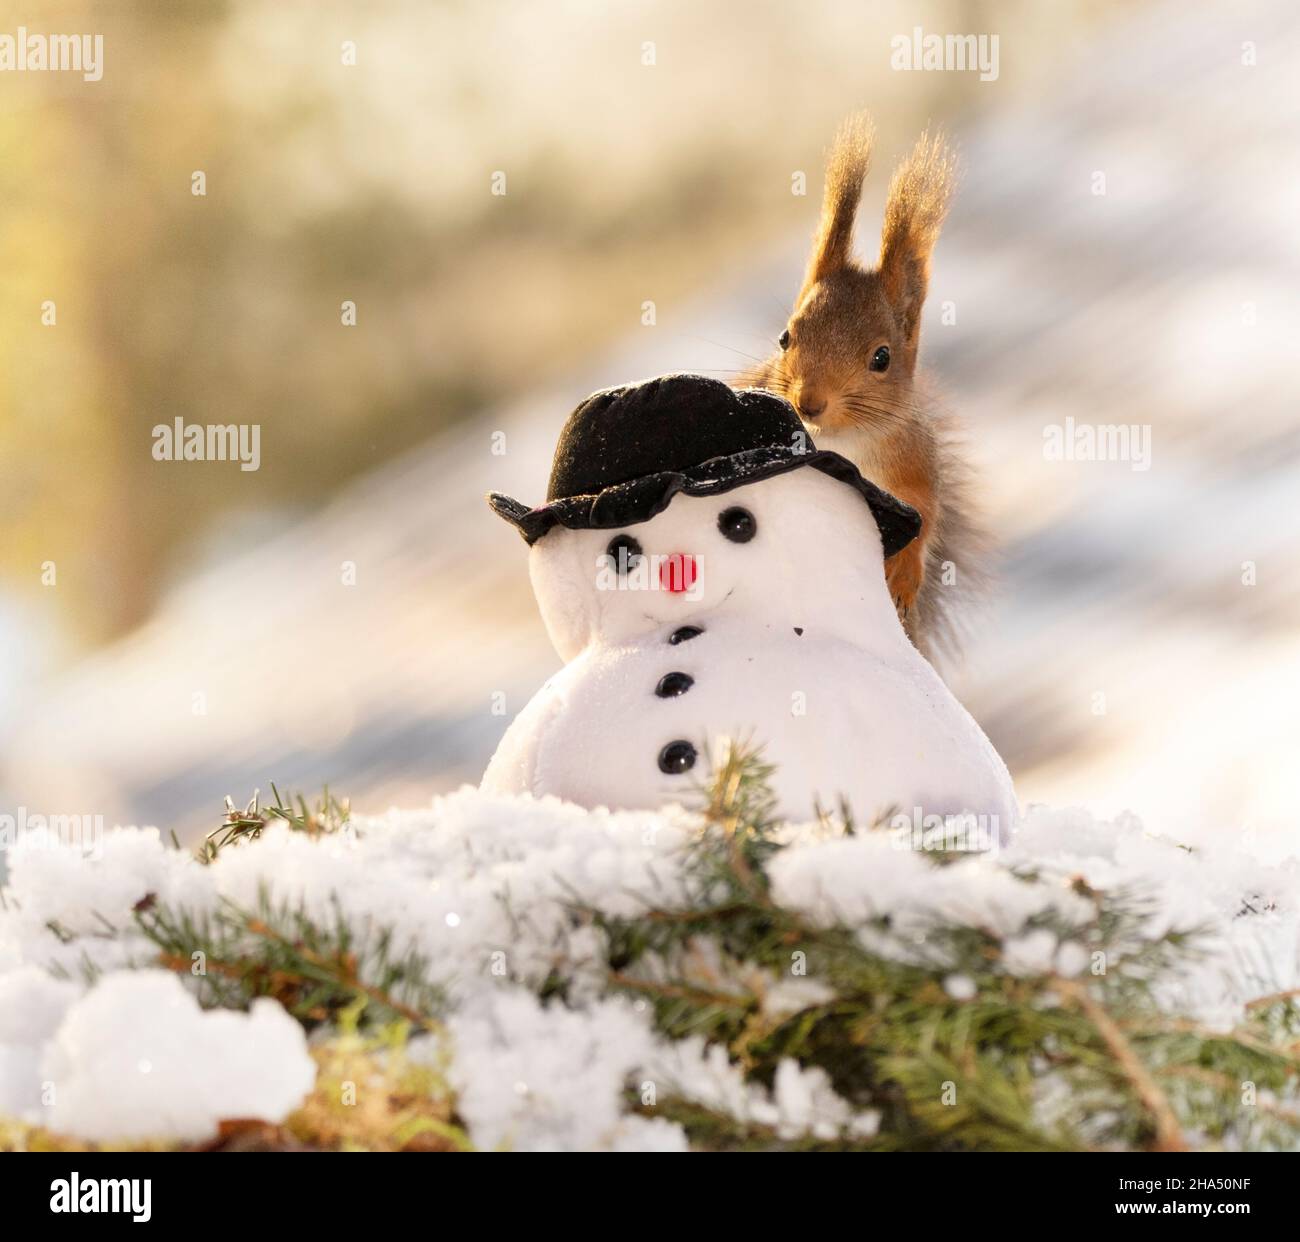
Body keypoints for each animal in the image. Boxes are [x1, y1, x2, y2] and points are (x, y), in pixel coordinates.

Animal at [741, 113, 987, 668]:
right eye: (785, 337)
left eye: (882, 358)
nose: (809, 402)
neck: (842, 442)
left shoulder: (915, 460)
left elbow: (926, 514)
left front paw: (905, 573)